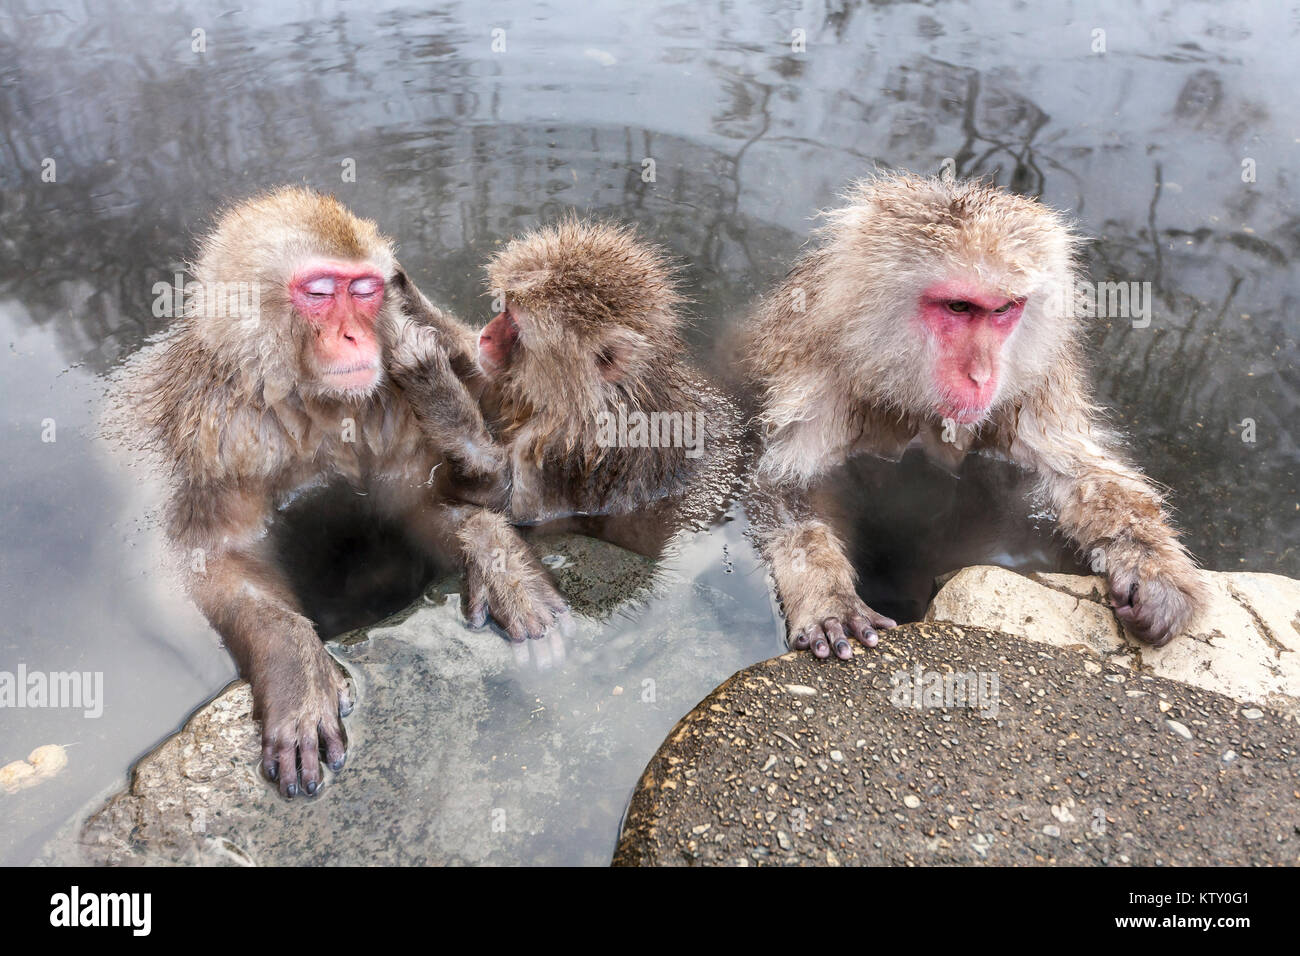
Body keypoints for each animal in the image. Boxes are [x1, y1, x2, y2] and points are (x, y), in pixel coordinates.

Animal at [117, 187, 566, 798]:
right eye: (320, 292)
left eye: (364, 291)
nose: (356, 334)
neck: (309, 400)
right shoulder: (215, 435)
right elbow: (214, 561)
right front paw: (296, 668)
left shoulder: (388, 405)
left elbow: (422, 506)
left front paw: (499, 561)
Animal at [743, 172, 1206, 659]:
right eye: (959, 307)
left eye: (1002, 309)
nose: (981, 376)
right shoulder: (818, 374)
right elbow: (789, 487)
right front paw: (827, 595)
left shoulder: (1034, 382)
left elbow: (1079, 474)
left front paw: (1154, 571)